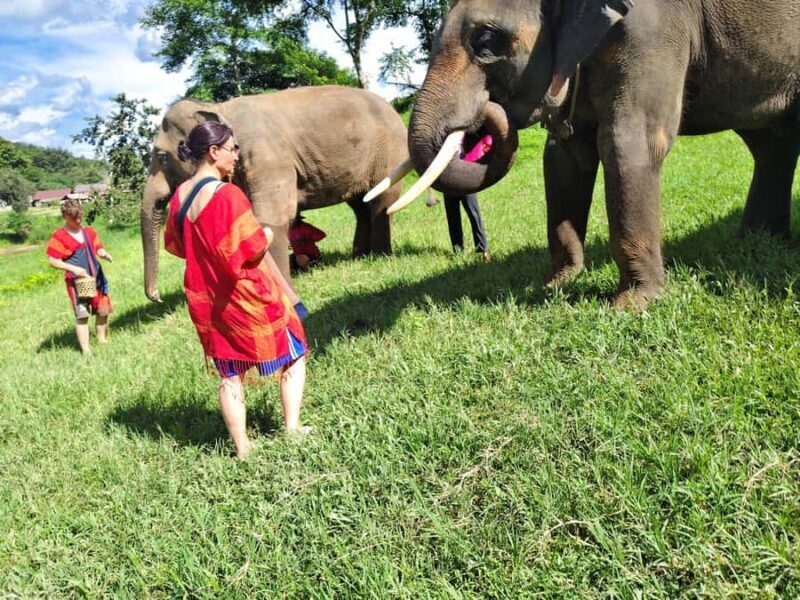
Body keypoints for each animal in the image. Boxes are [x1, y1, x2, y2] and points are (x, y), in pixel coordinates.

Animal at [141, 85, 407, 302]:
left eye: (162, 157)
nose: (157, 296)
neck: (217, 107)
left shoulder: (268, 157)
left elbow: (272, 217)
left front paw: (284, 295)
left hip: (389, 152)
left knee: (381, 202)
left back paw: (381, 256)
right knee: (360, 205)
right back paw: (360, 256)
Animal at [395, 0, 800, 307]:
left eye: (486, 40)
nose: (482, 118)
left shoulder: (653, 28)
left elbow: (627, 139)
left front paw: (633, 305)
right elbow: (563, 158)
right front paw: (555, 284)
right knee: (769, 142)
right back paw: (755, 240)